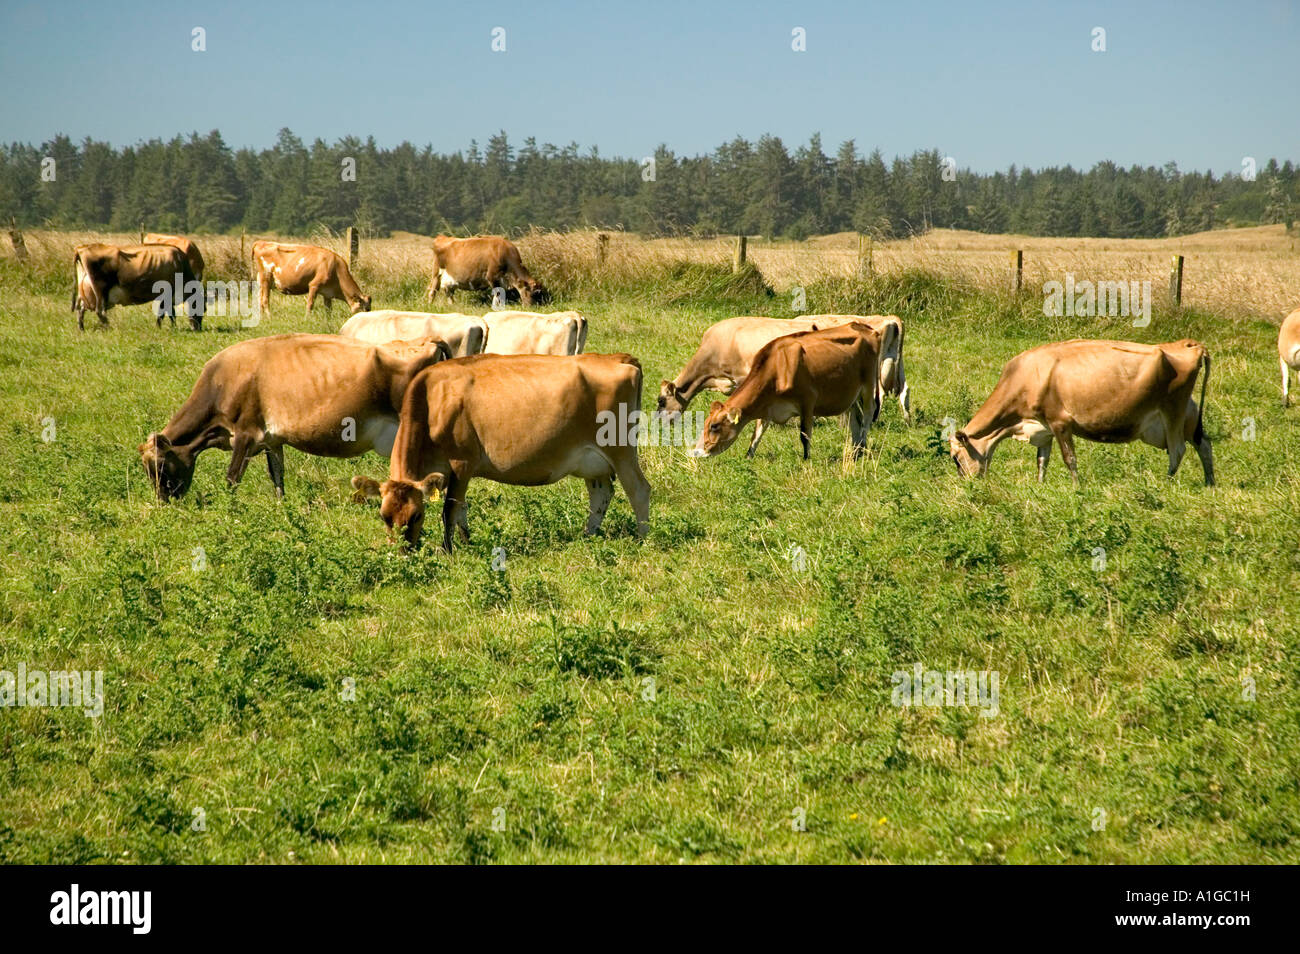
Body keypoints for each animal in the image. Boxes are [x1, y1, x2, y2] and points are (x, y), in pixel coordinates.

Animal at [72, 243, 204, 331]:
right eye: (203, 308)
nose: (198, 328)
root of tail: (82, 248)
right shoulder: (167, 292)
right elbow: (164, 312)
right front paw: (160, 327)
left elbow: (171, 313)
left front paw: (173, 327)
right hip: (101, 289)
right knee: (100, 311)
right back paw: (109, 328)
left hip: (86, 291)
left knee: (80, 310)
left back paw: (81, 329)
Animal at [138, 334, 448, 500]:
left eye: (161, 466)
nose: (164, 502)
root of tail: (427, 340)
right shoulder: (271, 441)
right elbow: (277, 479)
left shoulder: (246, 433)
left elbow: (232, 478)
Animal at [351, 353, 650, 551]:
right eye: (384, 516)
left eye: (416, 515)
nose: (402, 554)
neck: (432, 400)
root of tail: (618, 358)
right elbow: (461, 511)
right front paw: (467, 542)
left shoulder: (461, 463)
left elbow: (449, 510)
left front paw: (448, 550)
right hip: (593, 462)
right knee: (601, 496)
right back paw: (588, 536)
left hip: (621, 452)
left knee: (638, 489)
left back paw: (642, 538)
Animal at [949, 338, 1213, 485]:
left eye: (956, 458)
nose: (967, 485)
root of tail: (1189, 345)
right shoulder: (1043, 427)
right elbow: (1042, 460)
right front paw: (1040, 486)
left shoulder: (1059, 421)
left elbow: (1070, 459)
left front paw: (1077, 488)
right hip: (1187, 413)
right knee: (1204, 443)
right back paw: (1210, 482)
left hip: (1173, 411)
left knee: (1177, 451)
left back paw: (1165, 483)